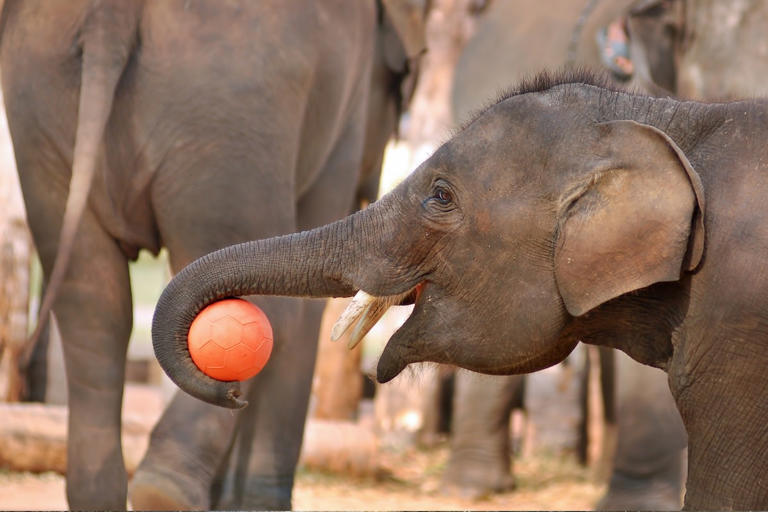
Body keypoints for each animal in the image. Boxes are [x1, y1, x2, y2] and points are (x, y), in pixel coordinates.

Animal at [0, 0, 424, 509]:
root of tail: (109, 12)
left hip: (44, 107)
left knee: (94, 306)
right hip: (229, 115)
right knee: (274, 311)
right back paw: (165, 491)